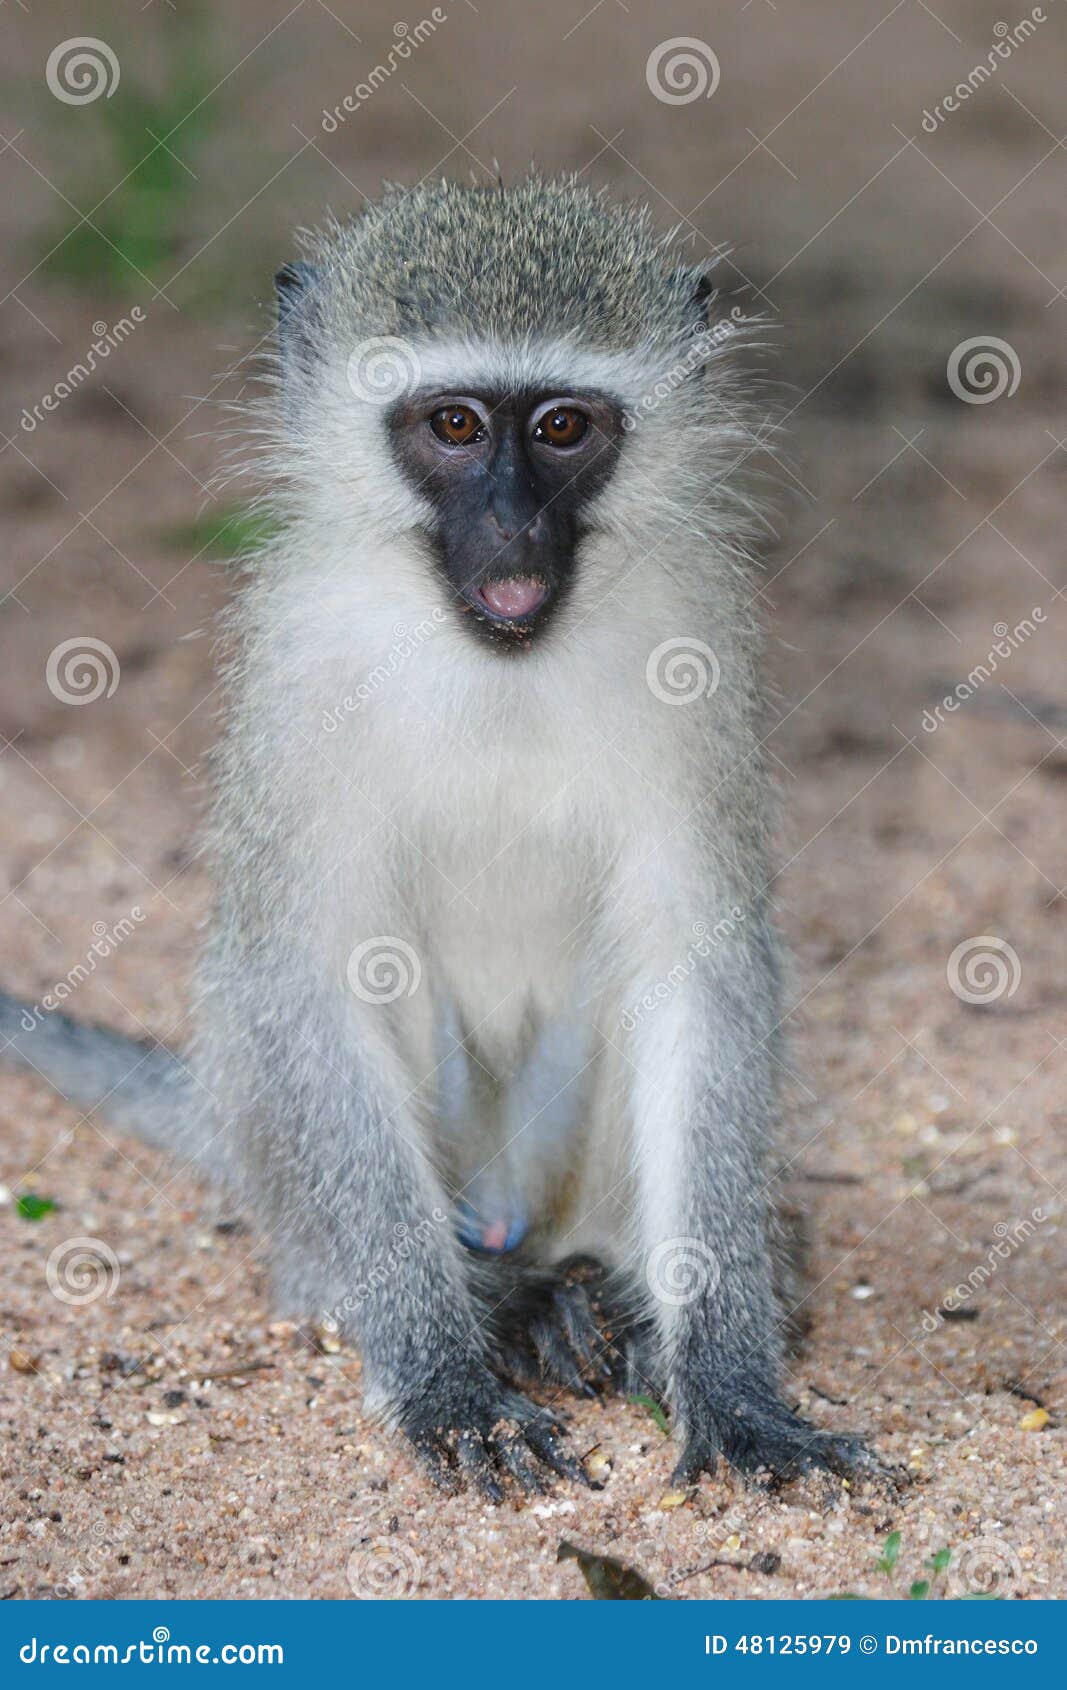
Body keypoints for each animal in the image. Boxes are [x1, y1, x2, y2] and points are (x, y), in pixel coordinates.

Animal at [0, 176, 880, 1500]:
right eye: (455, 426)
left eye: (562, 429)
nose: (511, 524)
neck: (499, 660)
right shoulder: (301, 662)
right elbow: (308, 976)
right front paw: (444, 1374)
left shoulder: (693, 648)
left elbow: (693, 971)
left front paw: (728, 1375)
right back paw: (504, 1297)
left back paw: (619, 1292)